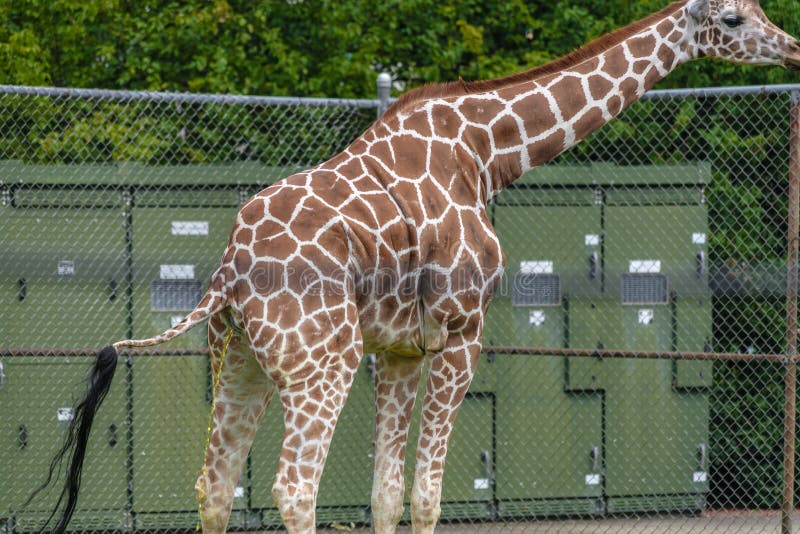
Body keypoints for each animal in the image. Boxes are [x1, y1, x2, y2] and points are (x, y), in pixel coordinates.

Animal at [36, 1, 799, 533]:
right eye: (733, 17)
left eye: (761, 7)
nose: (791, 44)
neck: (487, 152)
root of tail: (229, 269)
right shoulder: (461, 332)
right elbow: (427, 497)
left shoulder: (399, 347)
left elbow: (384, 495)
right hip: (321, 359)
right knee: (293, 488)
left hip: (240, 356)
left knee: (216, 487)